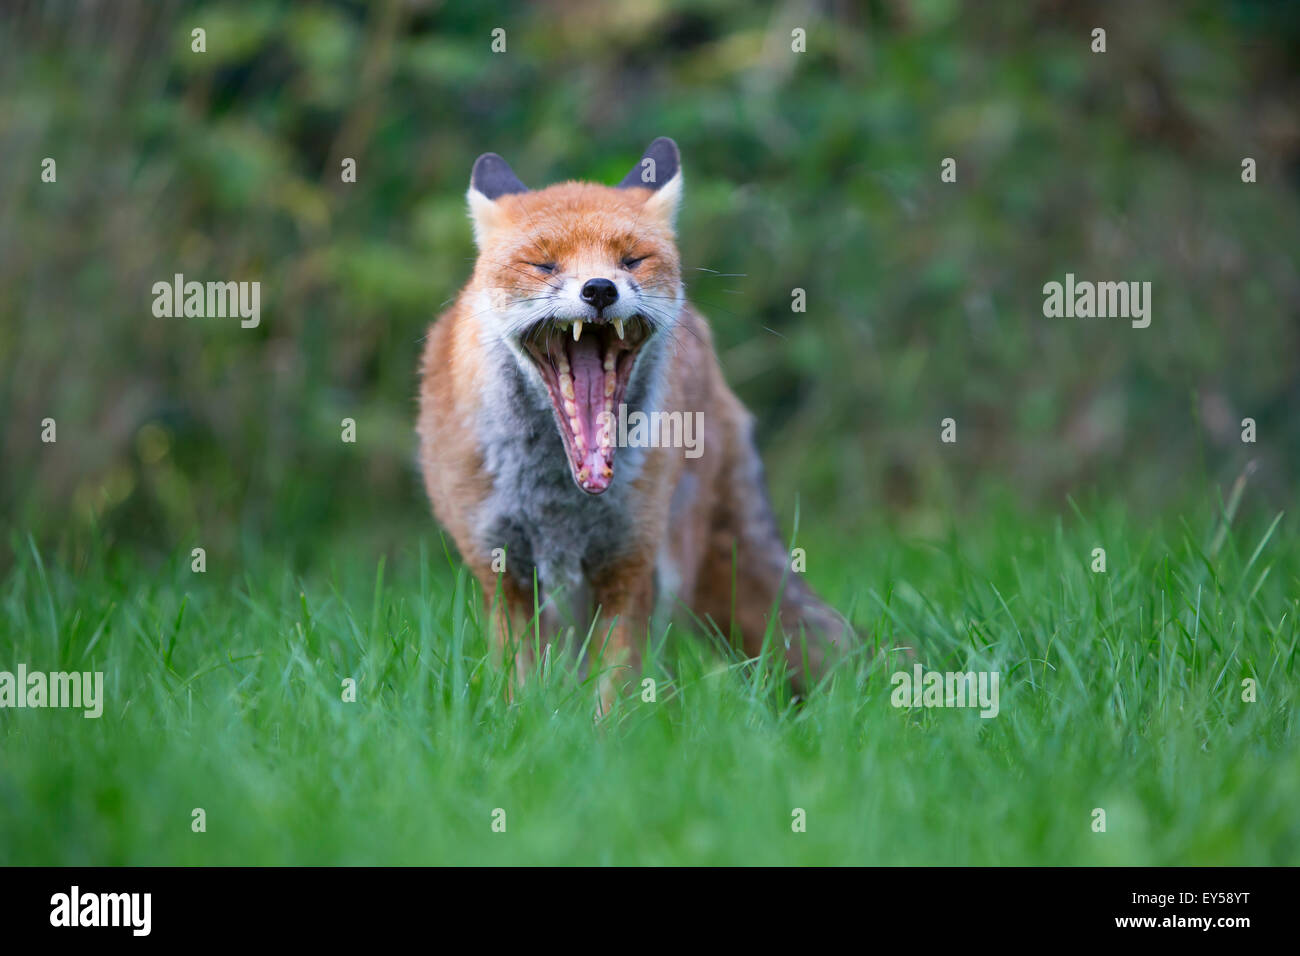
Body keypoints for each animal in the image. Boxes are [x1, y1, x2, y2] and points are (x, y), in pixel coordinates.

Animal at [417, 137, 854, 709]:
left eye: (631, 260)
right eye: (543, 264)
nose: (600, 289)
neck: (561, 497)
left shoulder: (628, 563)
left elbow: (617, 690)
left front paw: (605, 732)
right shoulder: (503, 573)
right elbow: (520, 688)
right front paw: (529, 723)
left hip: (671, 562)